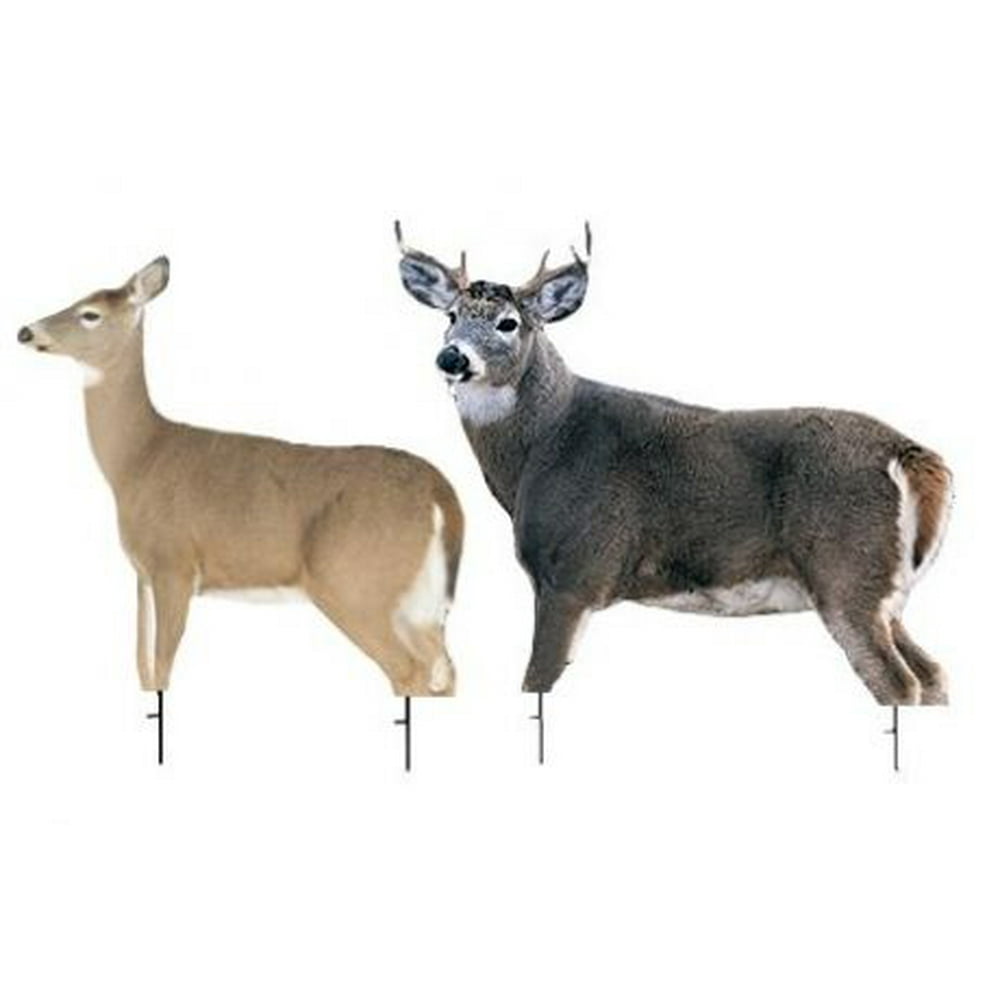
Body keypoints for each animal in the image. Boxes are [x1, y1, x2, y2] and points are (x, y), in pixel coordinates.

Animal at [17, 257, 464, 767]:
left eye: (90, 313)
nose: (25, 332)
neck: (137, 460)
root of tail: (441, 493)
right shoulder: (143, 573)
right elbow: (141, 668)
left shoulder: (174, 564)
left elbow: (162, 668)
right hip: (418, 600)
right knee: (444, 671)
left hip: (355, 582)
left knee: (409, 672)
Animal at [397, 223, 953, 766]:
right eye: (450, 315)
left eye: (508, 323)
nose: (451, 356)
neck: (542, 448)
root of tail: (911, 454)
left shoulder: (574, 574)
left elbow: (535, 682)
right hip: (883, 590)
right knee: (933, 674)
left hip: (846, 573)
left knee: (900, 682)